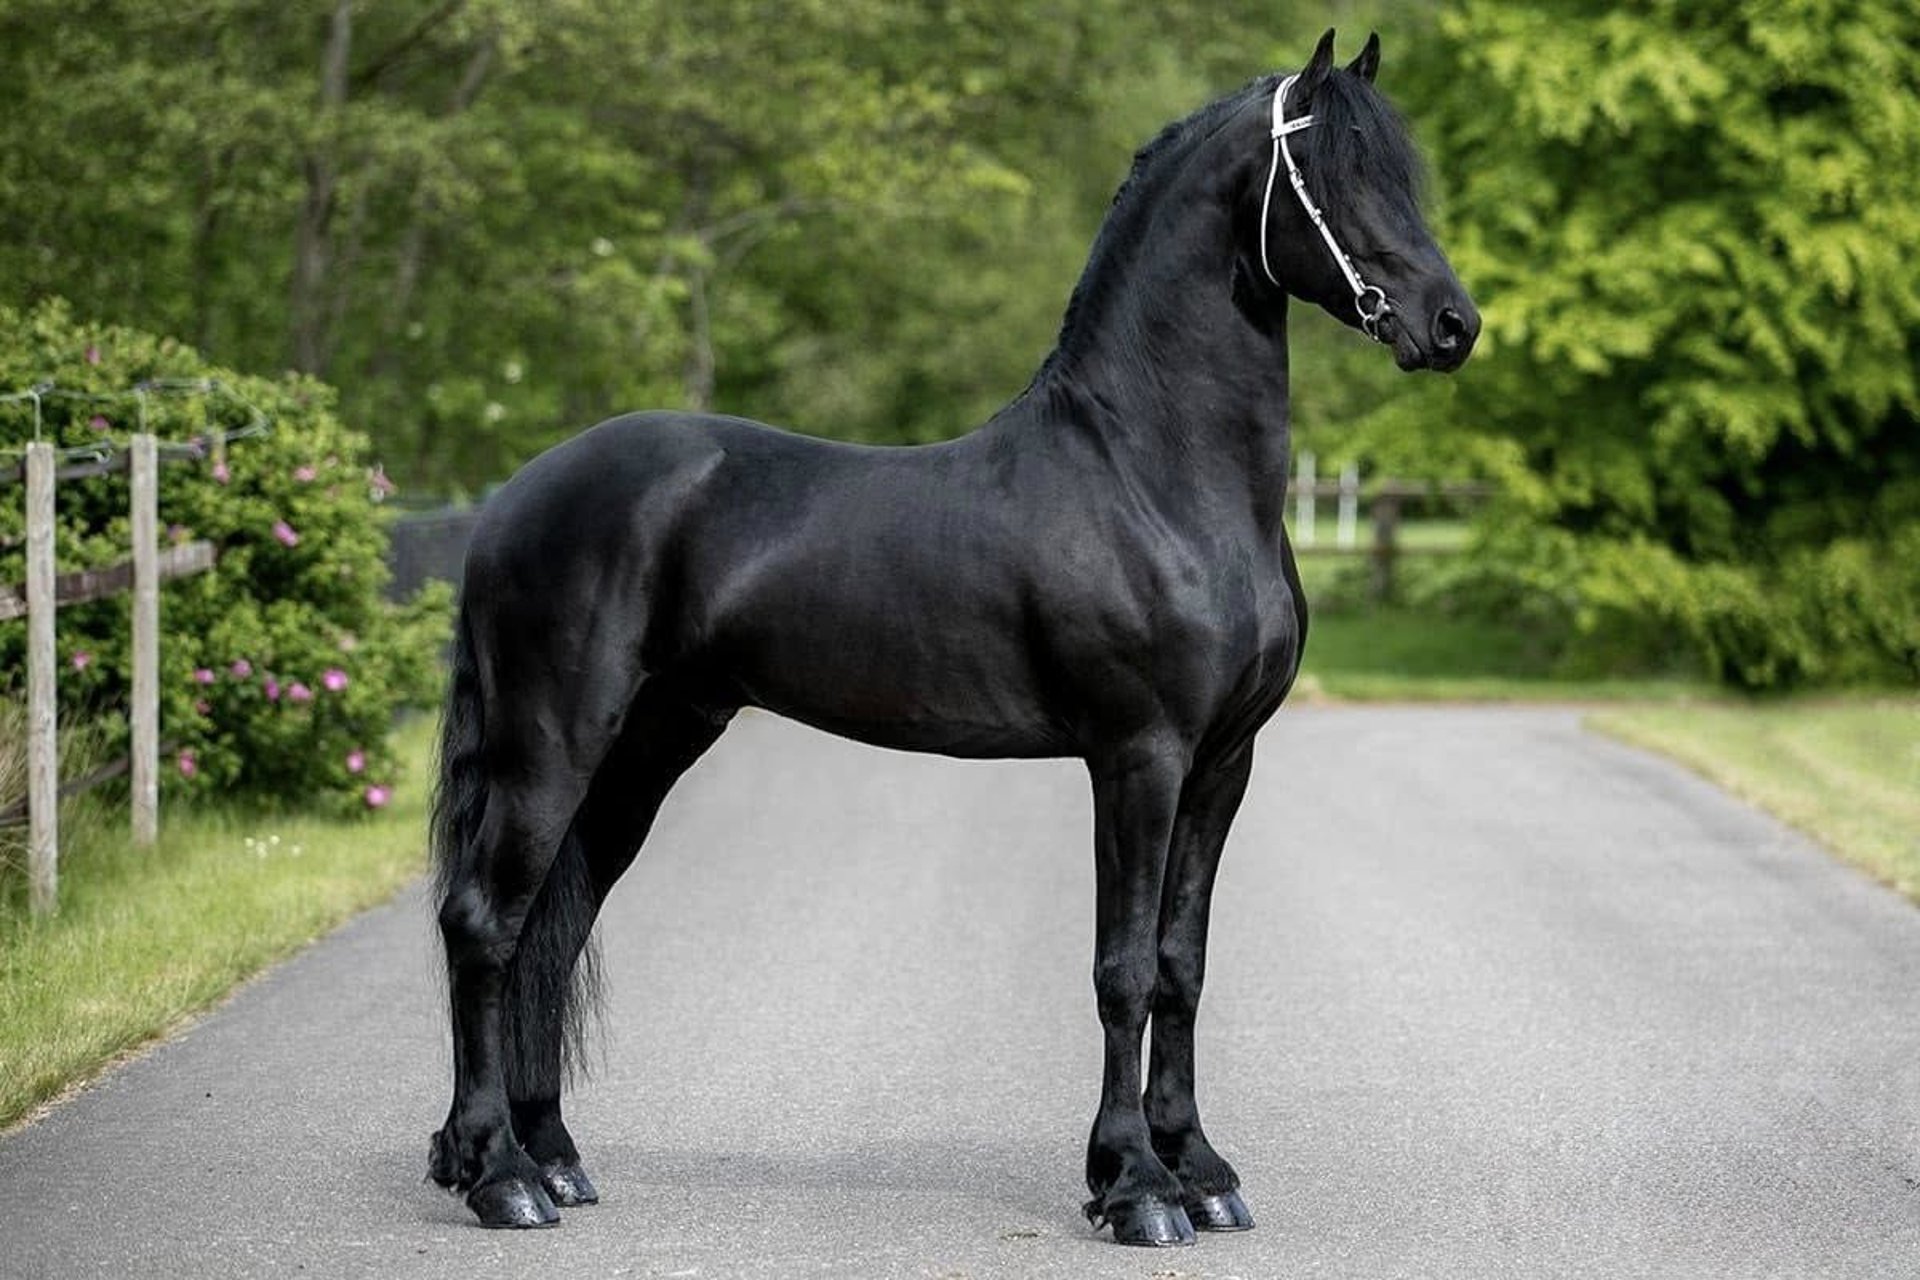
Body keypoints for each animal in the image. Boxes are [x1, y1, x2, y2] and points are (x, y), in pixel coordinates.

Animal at [426, 29, 1478, 1248]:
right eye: (1329, 177)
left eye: (1400, 176)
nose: (1454, 326)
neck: (1157, 474)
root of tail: (511, 500)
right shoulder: (1139, 755)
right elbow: (1123, 967)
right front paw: (1136, 1185)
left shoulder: (1225, 760)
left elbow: (1183, 962)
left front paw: (1200, 1168)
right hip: (552, 743)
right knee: (484, 924)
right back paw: (498, 1175)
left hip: (648, 744)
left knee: (554, 925)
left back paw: (548, 1159)